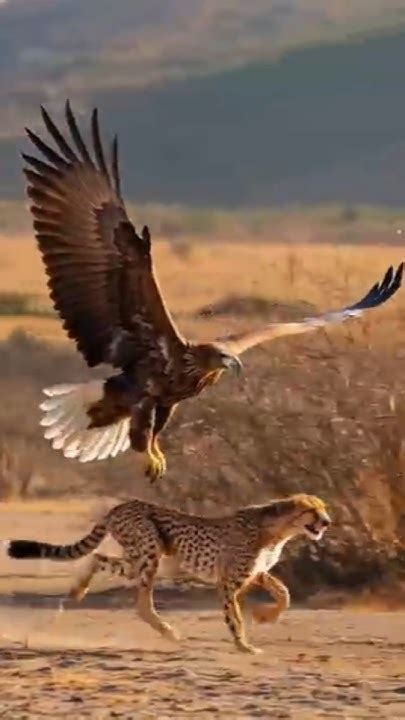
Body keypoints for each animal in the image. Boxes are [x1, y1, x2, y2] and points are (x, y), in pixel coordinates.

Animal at [6, 493, 330, 654]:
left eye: (322, 508)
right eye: (312, 510)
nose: (327, 521)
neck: (278, 529)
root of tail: (119, 507)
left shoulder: (256, 574)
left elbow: (284, 593)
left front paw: (264, 617)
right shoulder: (228, 582)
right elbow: (234, 617)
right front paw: (243, 645)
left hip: (141, 560)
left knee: (98, 557)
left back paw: (78, 589)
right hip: (149, 551)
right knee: (141, 602)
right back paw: (169, 632)